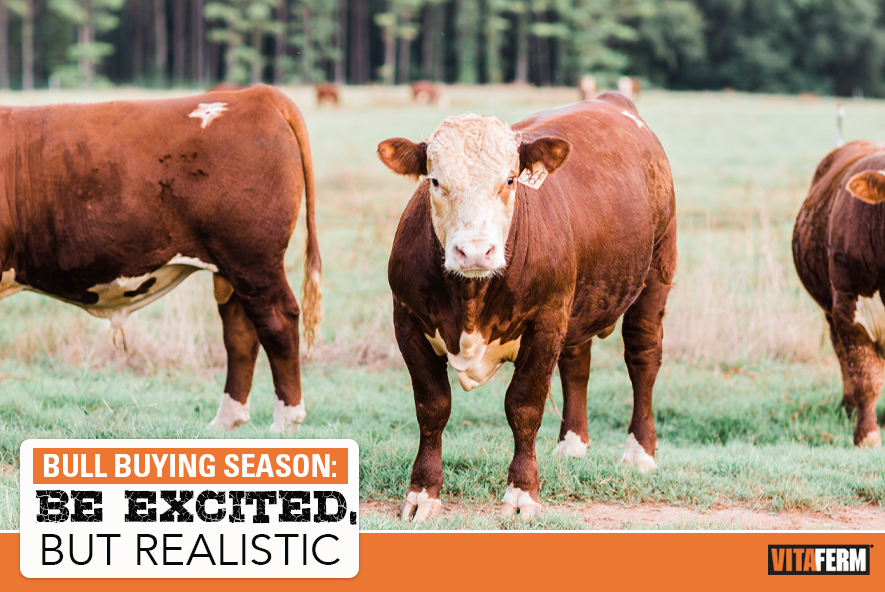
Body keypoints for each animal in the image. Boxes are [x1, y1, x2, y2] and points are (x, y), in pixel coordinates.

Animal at [0, 84, 322, 433]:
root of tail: (256, 94)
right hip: (231, 270)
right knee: (240, 333)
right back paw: (226, 420)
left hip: (253, 261)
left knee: (277, 322)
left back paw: (285, 422)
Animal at [377, 92, 677, 520]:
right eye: (435, 180)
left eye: (510, 179)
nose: (474, 251)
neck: (470, 298)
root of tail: (611, 99)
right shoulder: (407, 321)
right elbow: (432, 406)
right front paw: (422, 492)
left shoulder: (545, 324)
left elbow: (523, 407)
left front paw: (521, 492)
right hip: (577, 304)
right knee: (576, 364)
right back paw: (572, 445)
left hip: (656, 274)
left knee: (643, 359)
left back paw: (640, 452)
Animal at [793, 140, 885, 448]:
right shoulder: (849, 309)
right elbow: (866, 378)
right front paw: (867, 435)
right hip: (831, 310)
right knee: (844, 358)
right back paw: (849, 407)